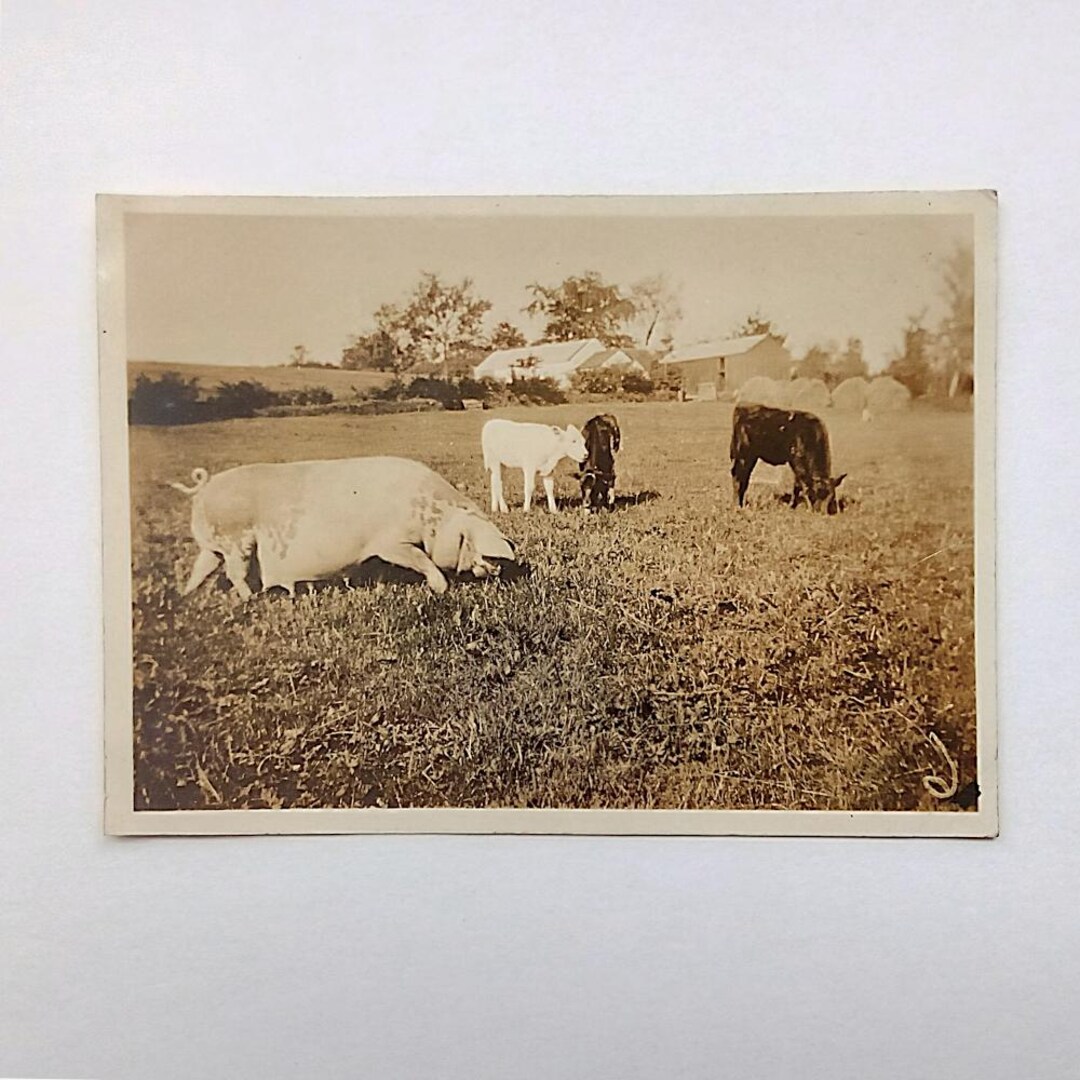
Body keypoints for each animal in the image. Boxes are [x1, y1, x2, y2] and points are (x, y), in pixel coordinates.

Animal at [169, 456, 520, 599]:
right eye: (474, 543)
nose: (498, 569)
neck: (435, 516)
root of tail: (205, 488)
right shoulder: (392, 542)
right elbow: (422, 561)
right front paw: (441, 589)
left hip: (214, 546)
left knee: (202, 567)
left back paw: (184, 596)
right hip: (237, 542)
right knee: (235, 573)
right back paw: (250, 598)